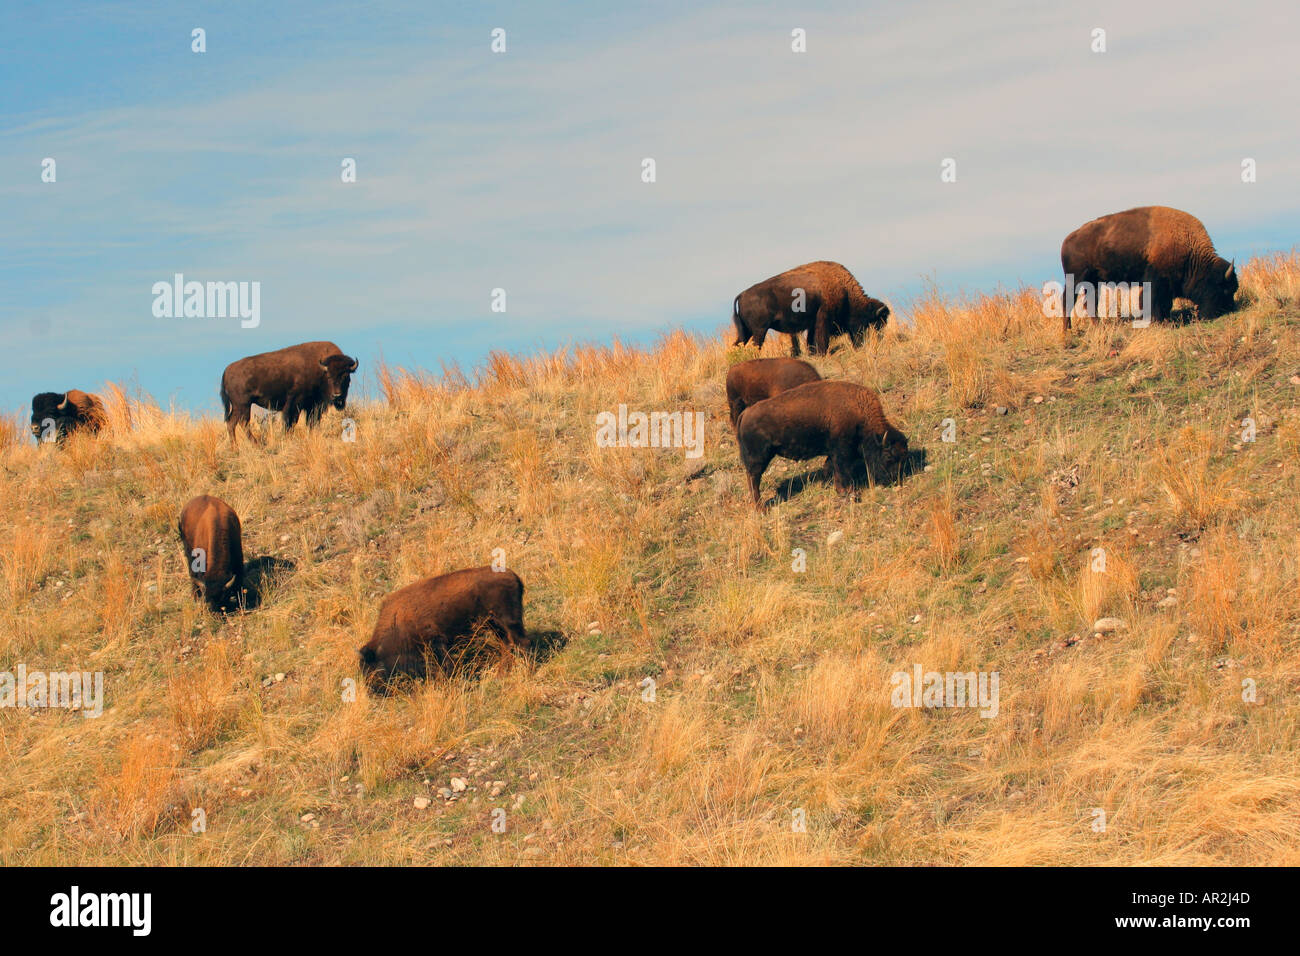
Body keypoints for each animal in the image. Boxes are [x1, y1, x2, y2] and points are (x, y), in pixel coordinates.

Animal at [220, 341, 358, 444]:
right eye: (329, 376)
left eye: (346, 376)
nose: (337, 395)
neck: (320, 369)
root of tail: (226, 371)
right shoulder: (295, 403)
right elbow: (290, 422)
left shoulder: (313, 406)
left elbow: (312, 423)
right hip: (242, 405)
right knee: (241, 423)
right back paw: (254, 444)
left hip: (240, 406)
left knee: (233, 423)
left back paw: (236, 447)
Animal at [358, 567, 527, 691]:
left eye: (371, 667)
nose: (373, 690)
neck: (397, 620)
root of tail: (513, 576)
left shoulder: (435, 643)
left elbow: (446, 665)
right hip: (496, 627)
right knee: (507, 647)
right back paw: (501, 675)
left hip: (509, 622)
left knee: (522, 643)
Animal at [733, 261, 889, 355]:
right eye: (868, 321)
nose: (860, 344)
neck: (844, 290)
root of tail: (742, 295)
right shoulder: (823, 318)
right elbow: (821, 339)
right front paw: (821, 354)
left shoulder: (813, 323)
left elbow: (811, 341)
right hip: (759, 331)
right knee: (755, 345)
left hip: (747, 332)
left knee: (737, 345)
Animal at [736, 380, 909, 507]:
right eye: (889, 457)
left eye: (904, 458)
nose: (894, 479)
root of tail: (745, 413)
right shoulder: (842, 452)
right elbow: (842, 471)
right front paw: (848, 492)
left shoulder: (834, 453)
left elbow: (831, 468)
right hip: (759, 457)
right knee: (754, 478)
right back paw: (760, 507)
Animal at [1060, 206, 1237, 334]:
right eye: (1224, 289)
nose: (1229, 309)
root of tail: (1067, 240)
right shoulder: (1156, 281)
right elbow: (1155, 302)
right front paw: (1160, 322)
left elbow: (1164, 304)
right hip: (1075, 279)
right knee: (1067, 301)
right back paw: (1068, 330)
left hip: (1094, 283)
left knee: (1090, 303)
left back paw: (1098, 327)